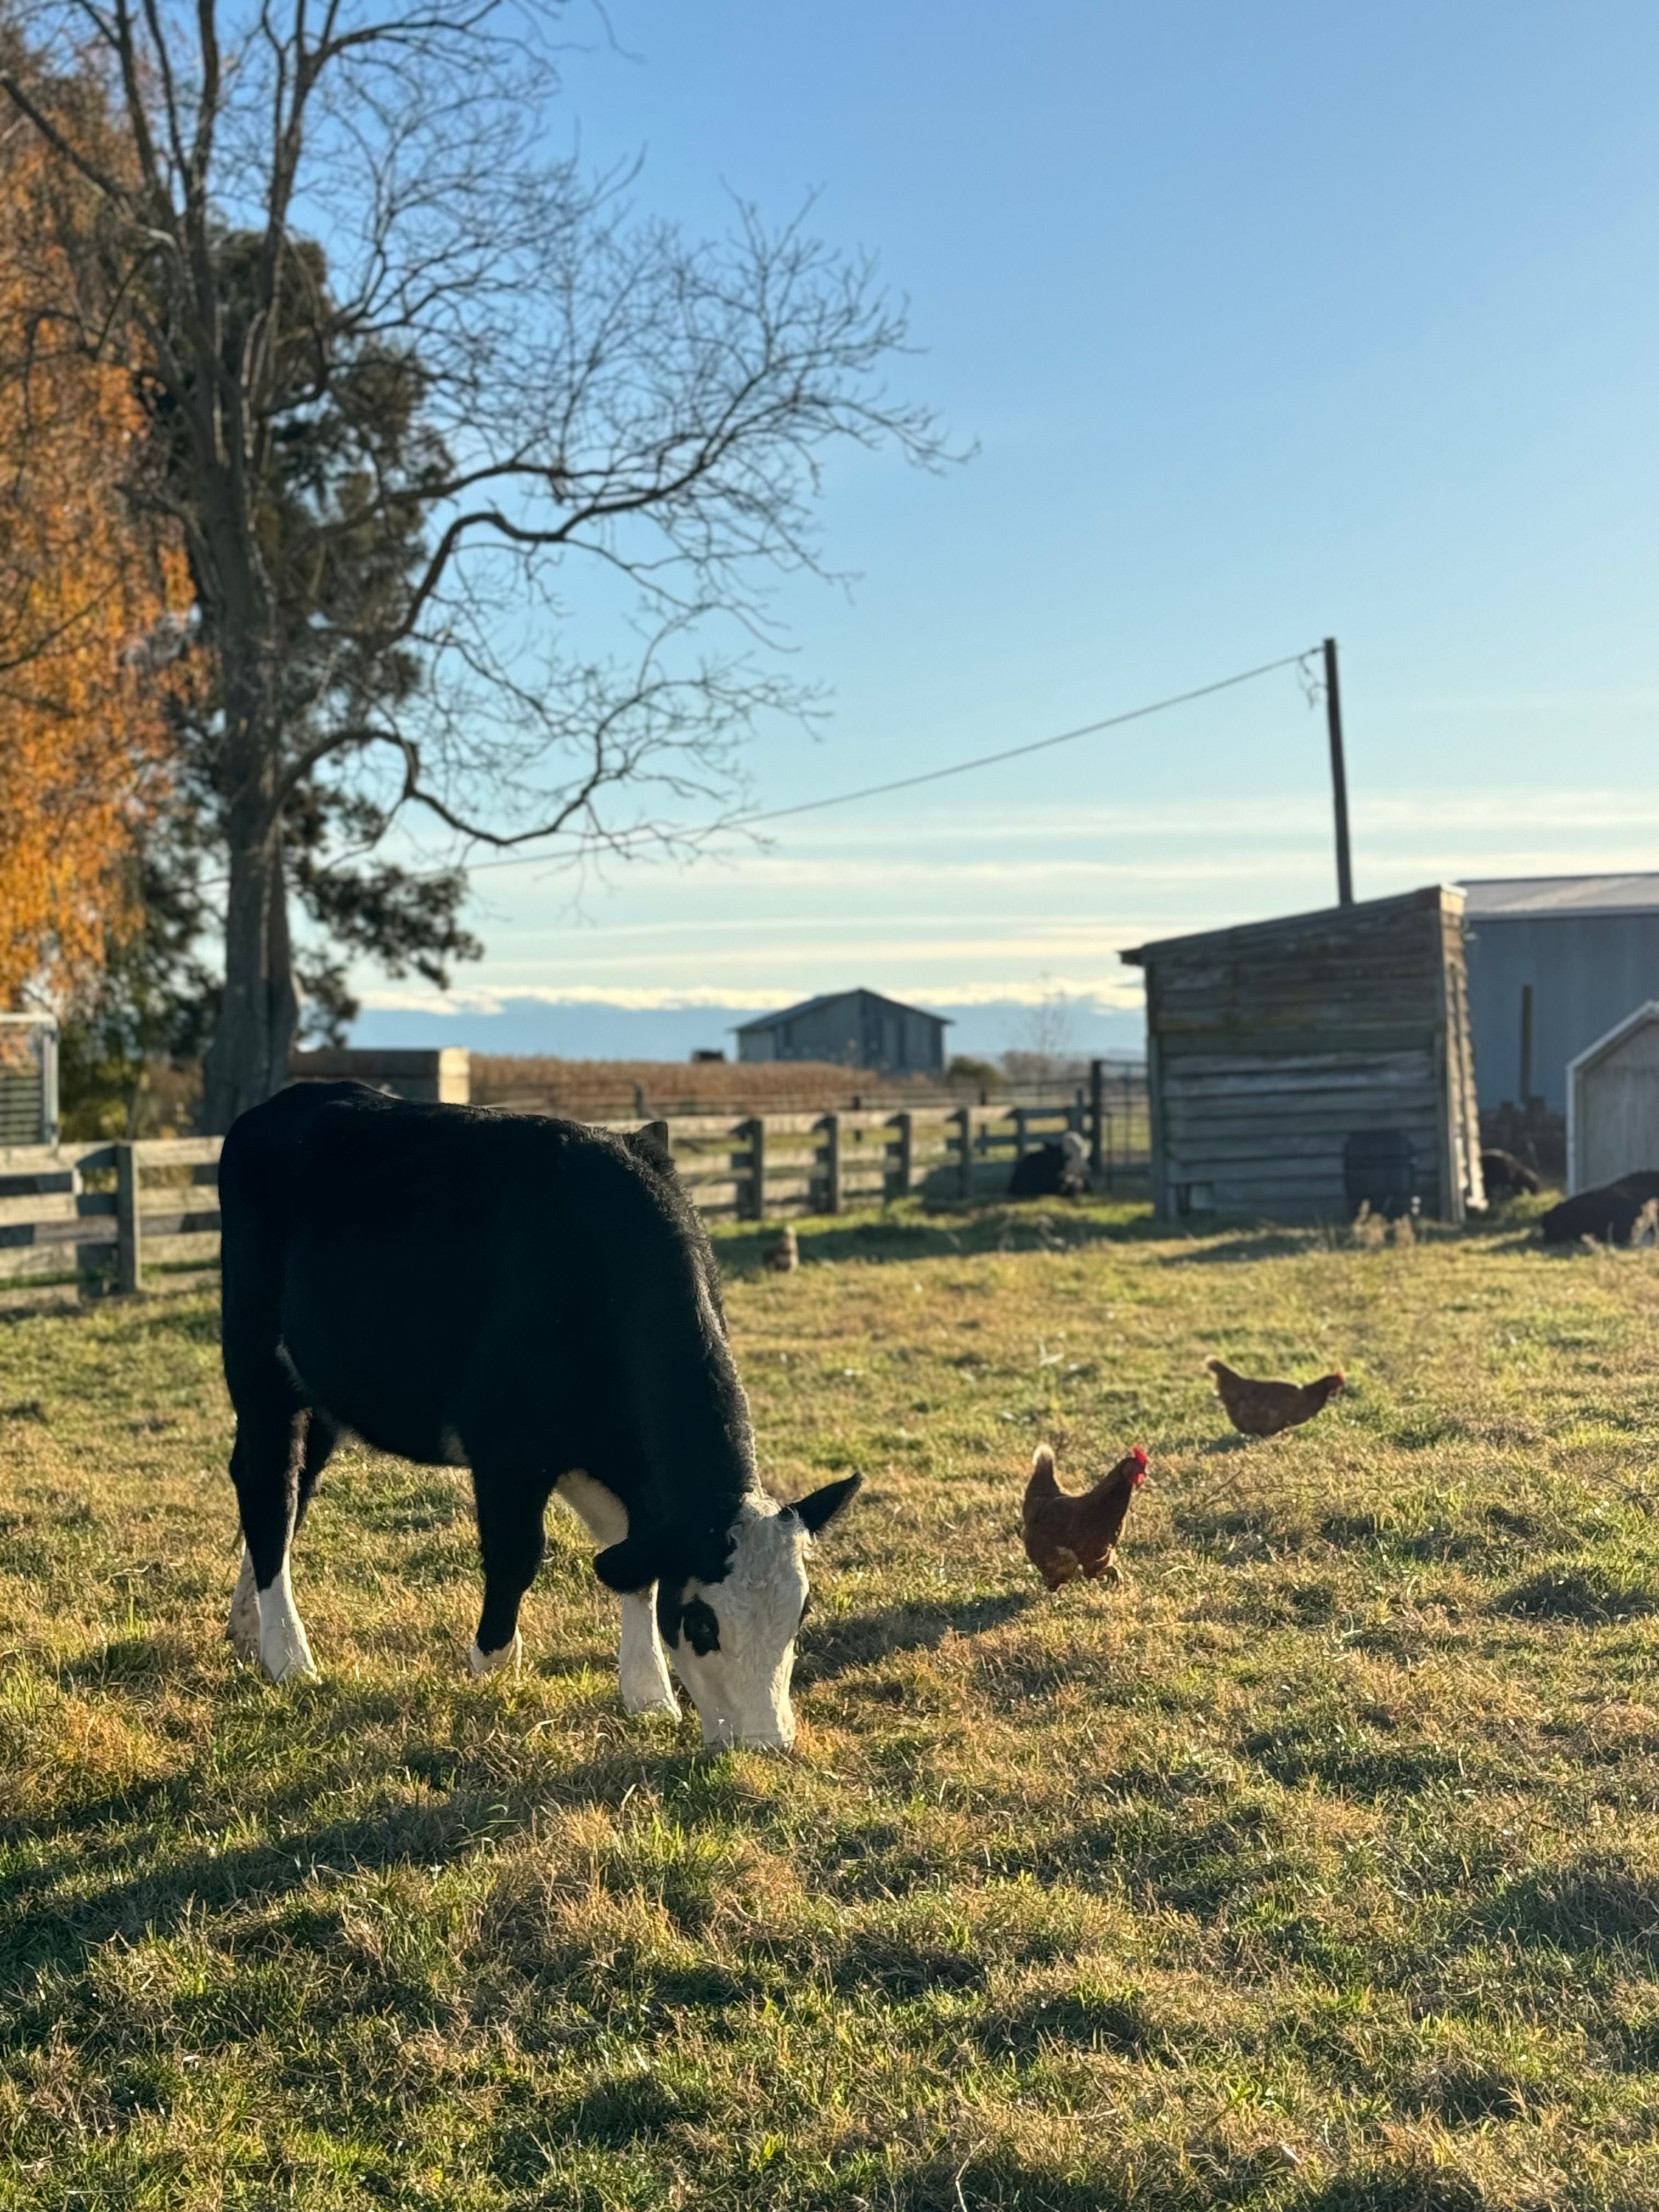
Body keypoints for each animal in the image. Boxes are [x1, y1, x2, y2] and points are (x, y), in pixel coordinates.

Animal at [217, 1081, 860, 1750]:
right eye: (702, 1622)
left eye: (803, 1613)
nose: (768, 1742)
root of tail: (292, 1099)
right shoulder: (508, 1450)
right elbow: (518, 1553)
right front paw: (494, 1665)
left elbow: (636, 1566)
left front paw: (649, 1696)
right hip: (261, 1367)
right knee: (269, 1489)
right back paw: (289, 1656)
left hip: (322, 1391)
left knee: (290, 1490)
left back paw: (248, 1624)